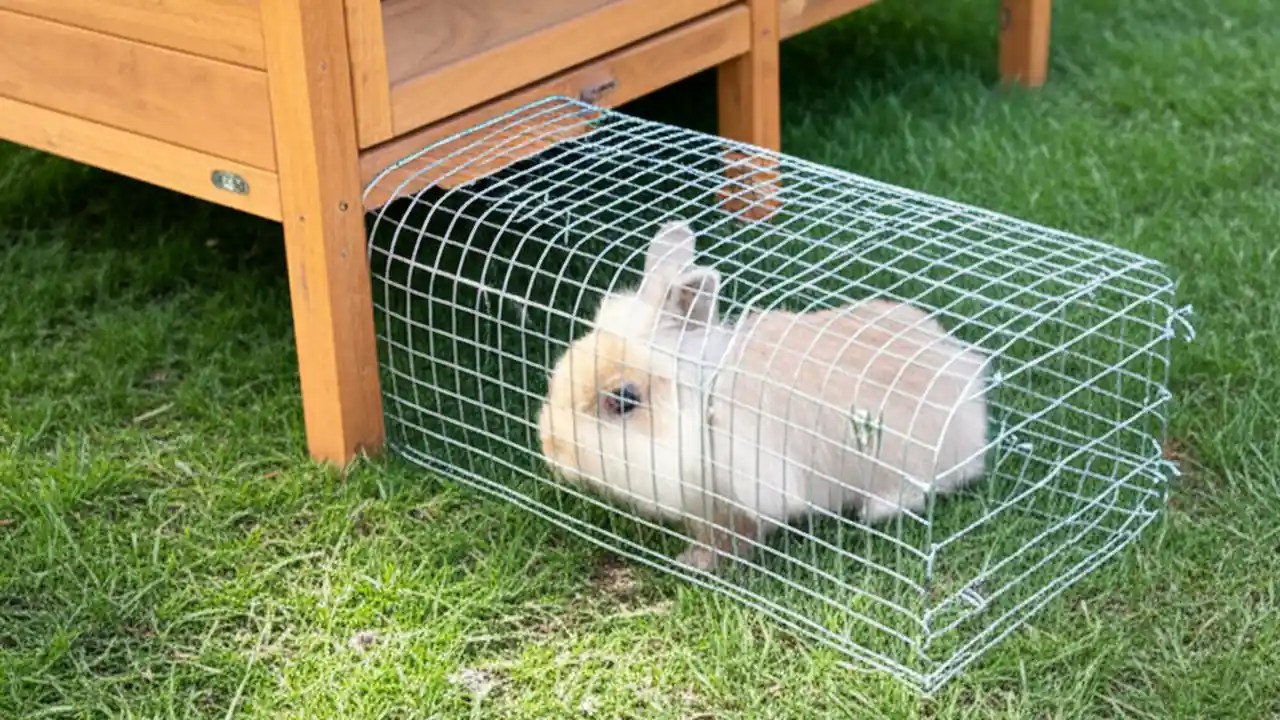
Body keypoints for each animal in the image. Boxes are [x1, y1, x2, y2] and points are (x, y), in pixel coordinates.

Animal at [536, 220, 990, 572]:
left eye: (623, 400)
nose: (551, 446)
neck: (701, 409)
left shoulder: (745, 492)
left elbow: (735, 534)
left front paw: (699, 562)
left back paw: (875, 508)